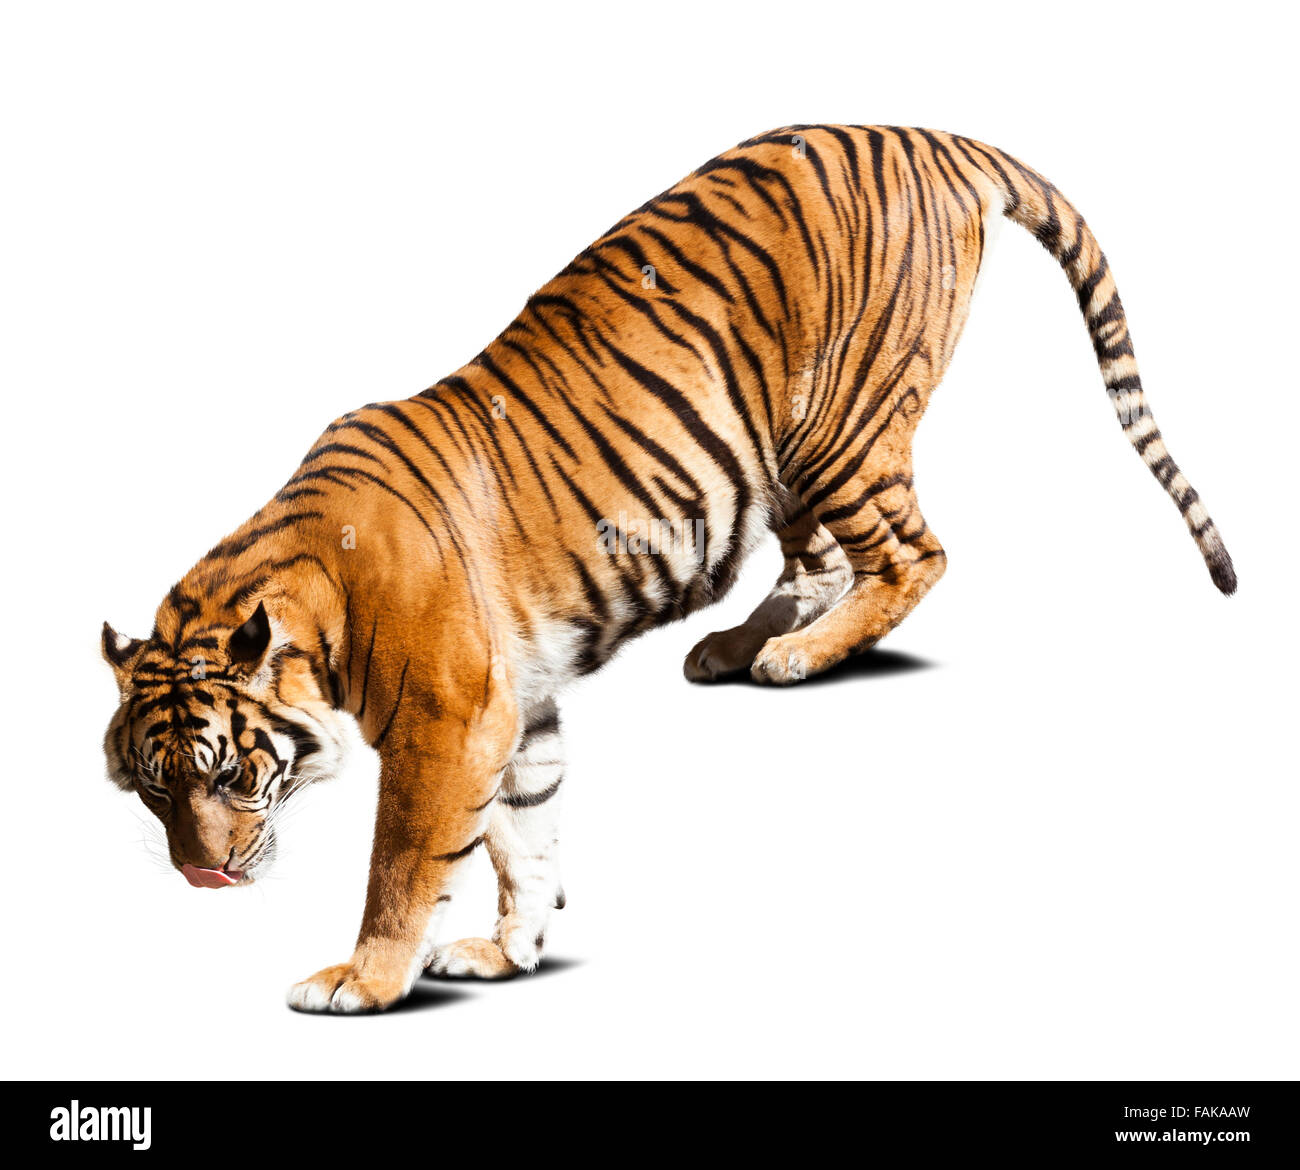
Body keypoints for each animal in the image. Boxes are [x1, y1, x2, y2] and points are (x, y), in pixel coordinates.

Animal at [101, 125, 1235, 1013]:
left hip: (840, 424)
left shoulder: (444, 721)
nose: (202, 877)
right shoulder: (513, 710)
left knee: (915, 553)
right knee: (821, 560)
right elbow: (525, 836)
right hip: (782, 462)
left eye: (230, 773)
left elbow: (405, 863)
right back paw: (739, 646)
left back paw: (795, 656)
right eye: (153, 788)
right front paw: (509, 952)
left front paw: (362, 980)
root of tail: (929, 135)